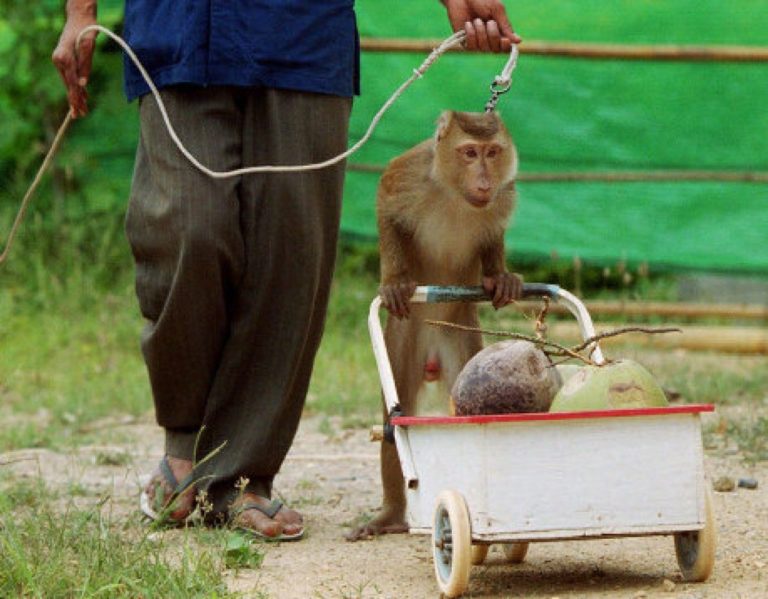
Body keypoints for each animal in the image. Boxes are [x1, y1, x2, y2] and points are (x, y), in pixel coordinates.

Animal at [346, 110, 522, 541]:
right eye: (469, 152)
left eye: (492, 152)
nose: (484, 180)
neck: (456, 194)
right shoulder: (414, 172)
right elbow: (386, 198)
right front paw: (395, 281)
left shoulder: (504, 193)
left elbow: (493, 232)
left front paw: (500, 277)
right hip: (401, 339)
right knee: (395, 417)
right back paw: (392, 514)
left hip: (460, 338)